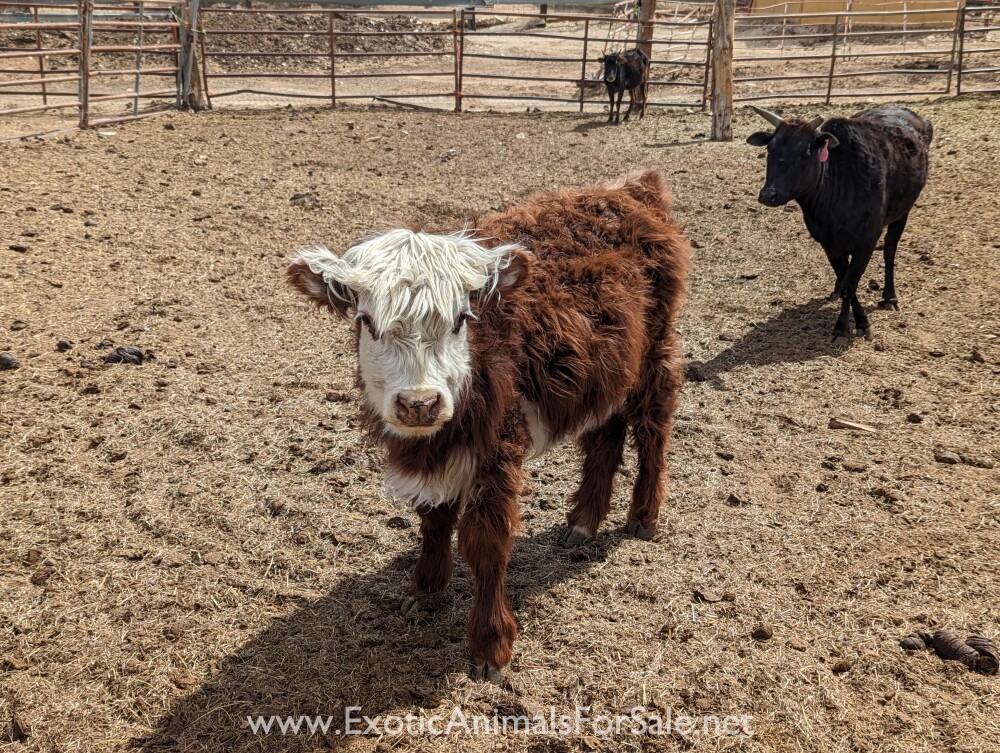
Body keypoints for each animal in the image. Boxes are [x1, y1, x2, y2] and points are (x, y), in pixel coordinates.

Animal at [287, 170, 690, 682]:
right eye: (366, 320)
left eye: (462, 319)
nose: (420, 403)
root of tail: (631, 188)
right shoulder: (439, 456)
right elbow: (434, 519)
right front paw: (425, 590)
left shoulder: (497, 449)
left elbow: (486, 543)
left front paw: (489, 647)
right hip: (609, 367)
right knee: (606, 434)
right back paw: (583, 521)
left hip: (655, 351)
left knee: (654, 428)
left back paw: (643, 516)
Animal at [746, 105, 932, 344]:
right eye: (770, 148)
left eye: (805, 151)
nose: (768, 195)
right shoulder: (829, 244)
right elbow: (845, 281)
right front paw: (852, 321)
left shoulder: (866, 242)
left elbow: (850, 285)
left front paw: (847, 328)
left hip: (902, 212)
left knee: (890, 250)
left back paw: (889, 297)